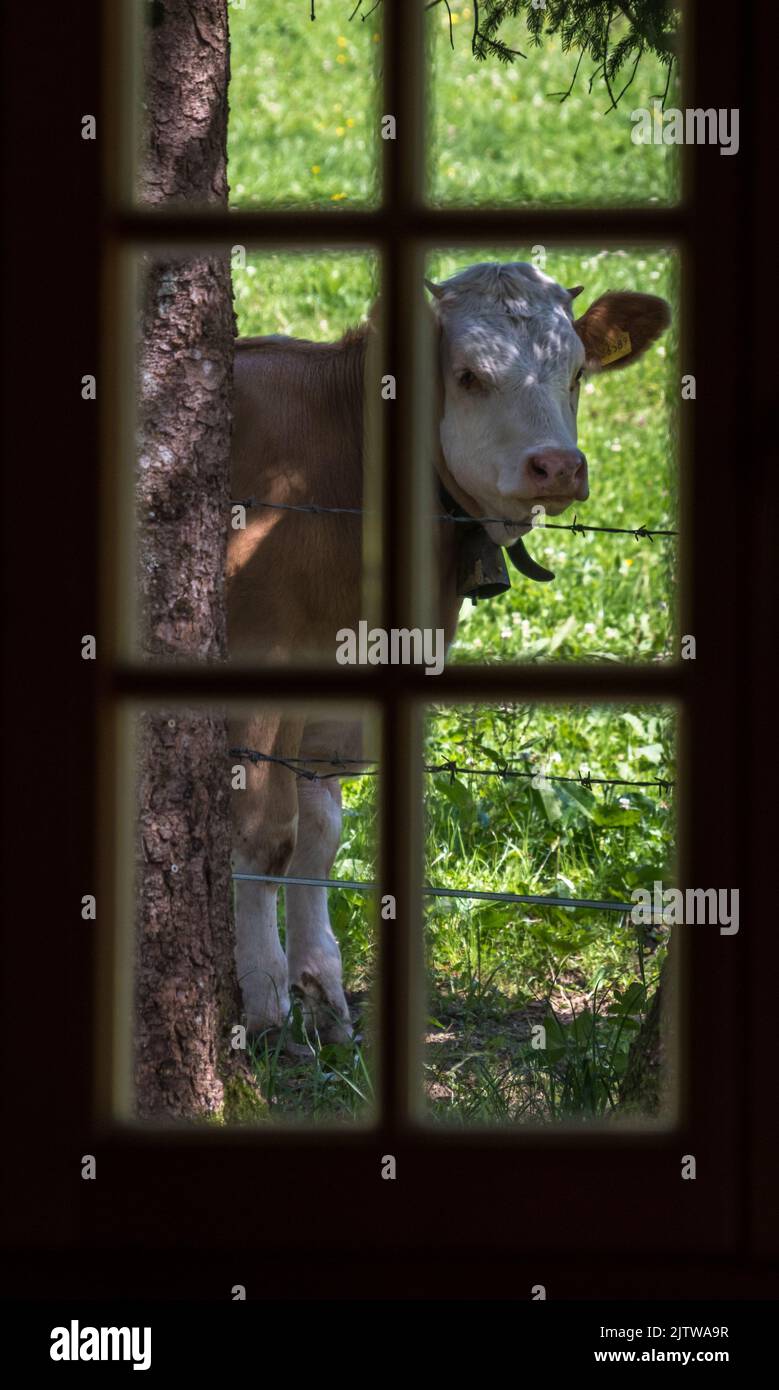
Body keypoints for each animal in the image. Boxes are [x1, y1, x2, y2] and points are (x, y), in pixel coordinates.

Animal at [226, 261, 670, 1045]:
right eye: (467, 375)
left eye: (577, 373)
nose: (558, 466)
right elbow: (268, 834)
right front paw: (267, 1005)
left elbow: (319, 833)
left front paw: (325, 997)